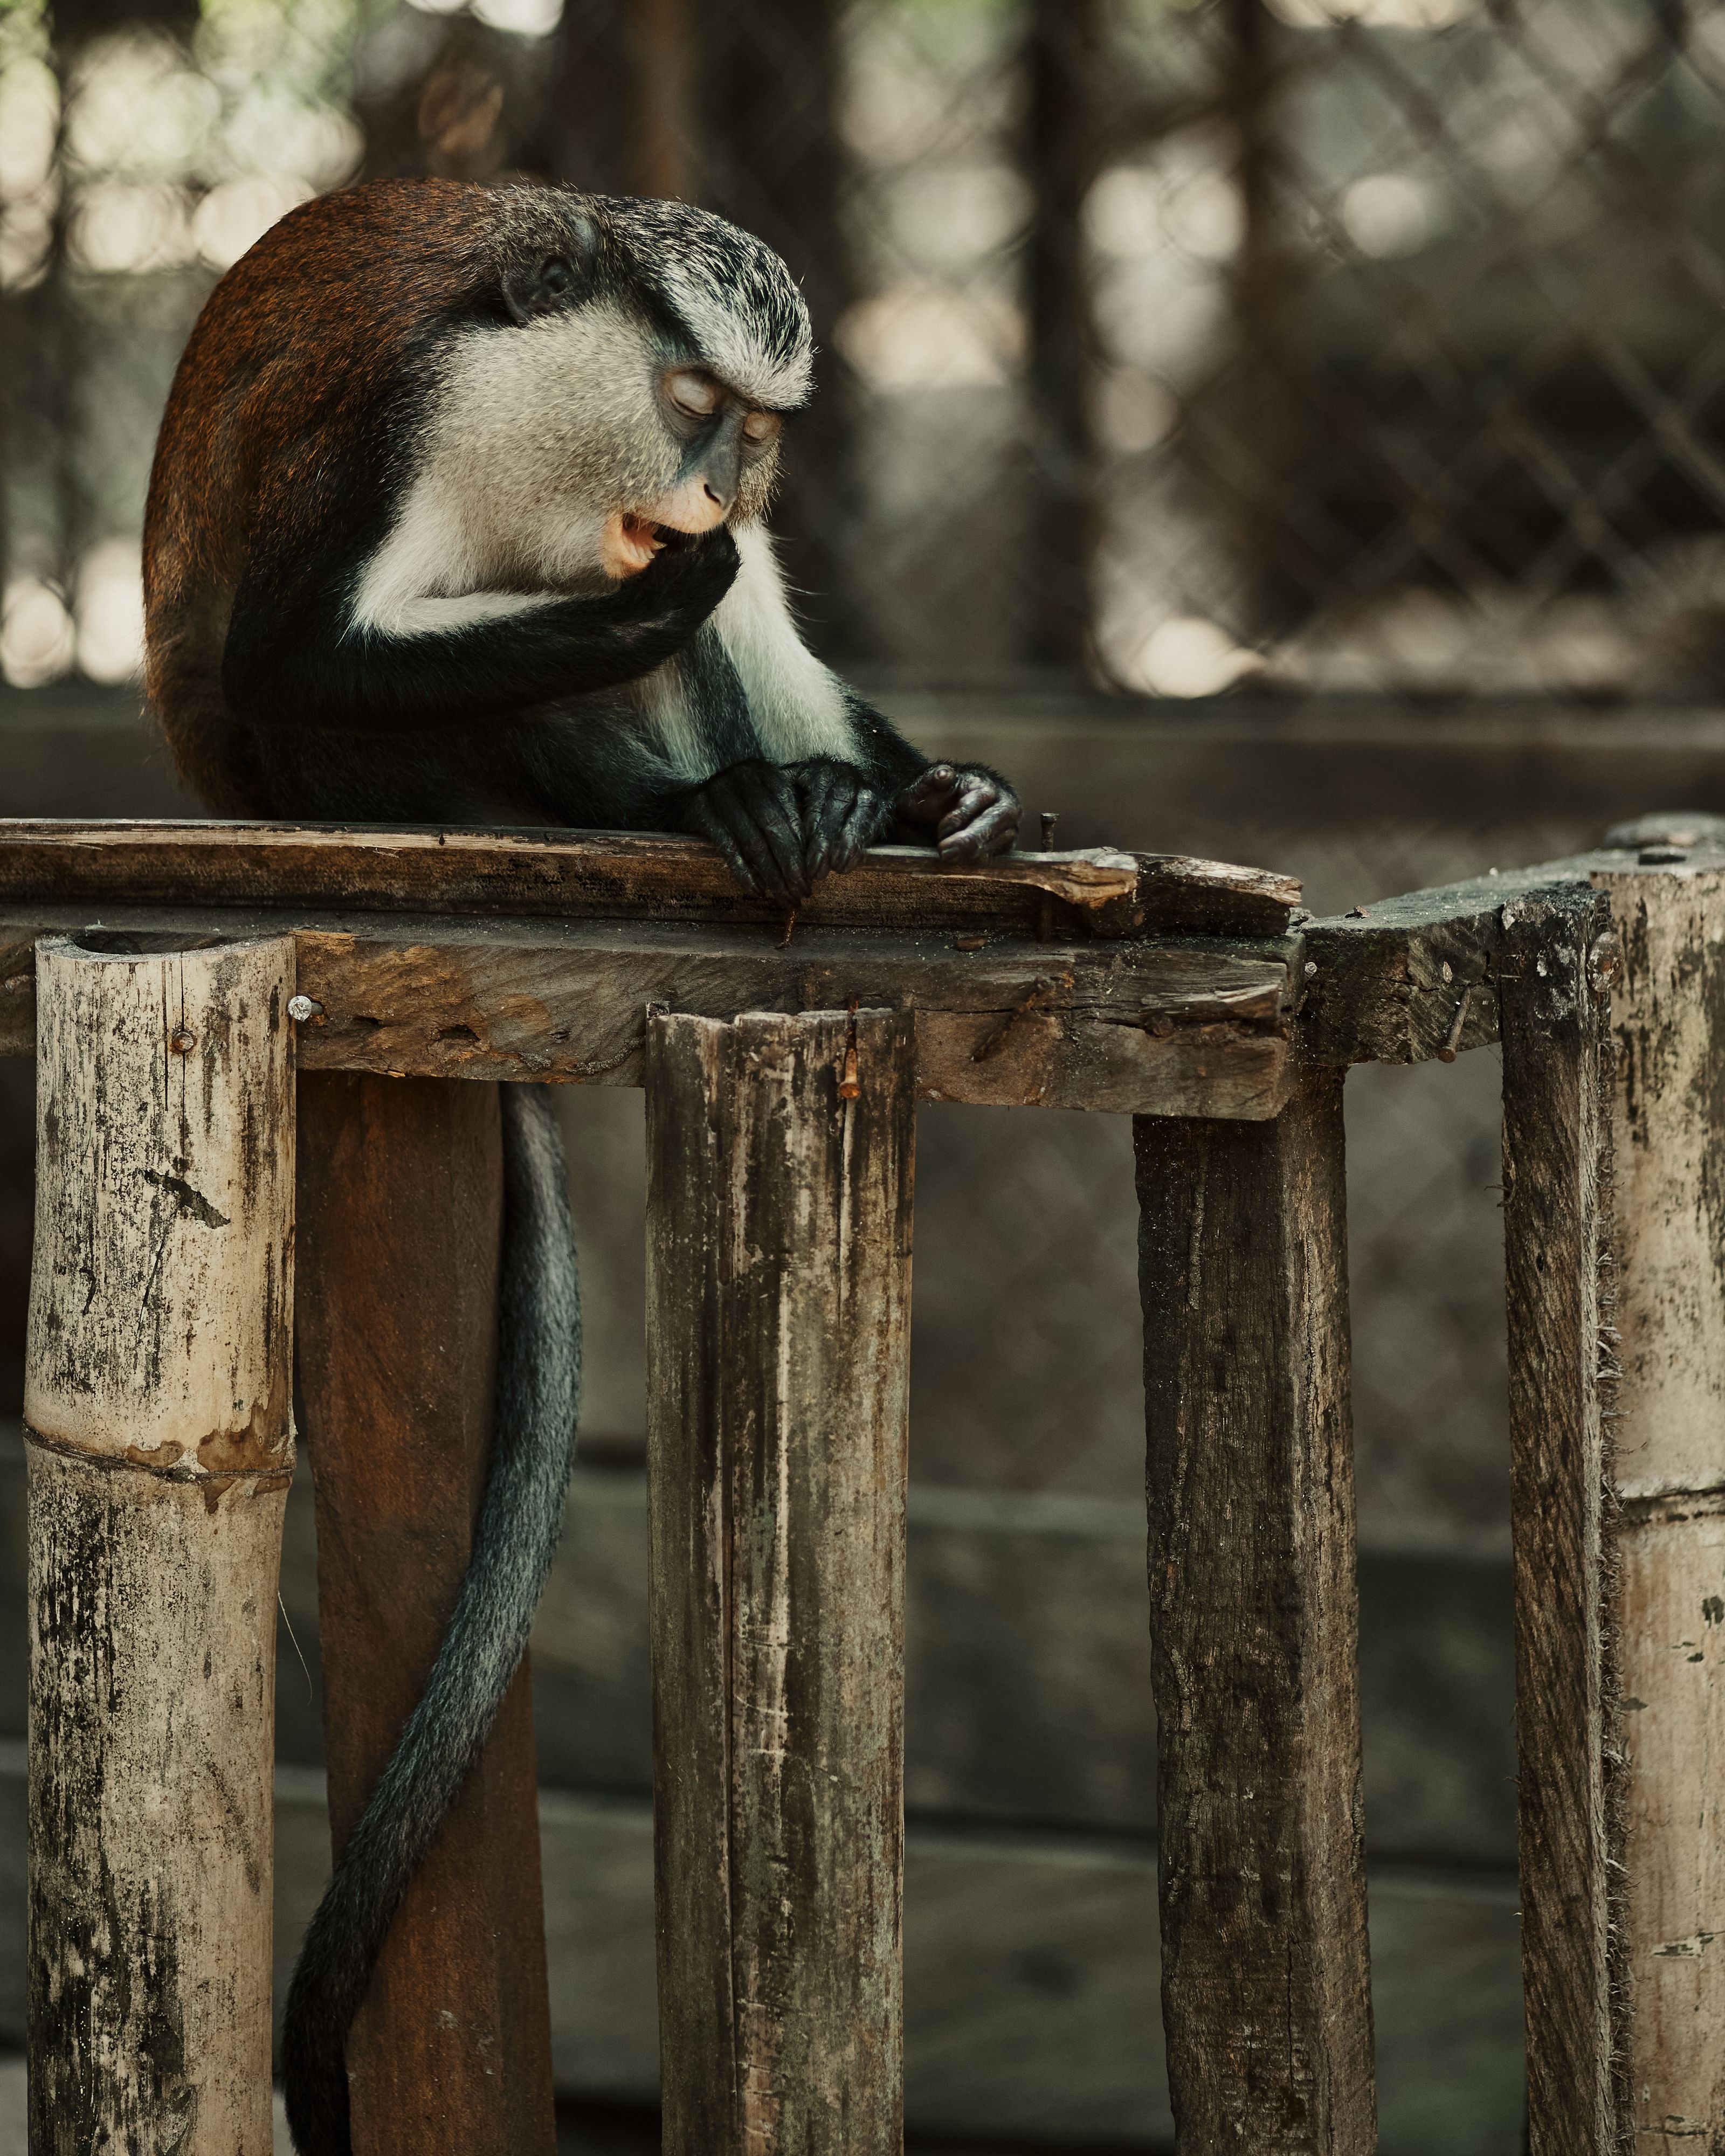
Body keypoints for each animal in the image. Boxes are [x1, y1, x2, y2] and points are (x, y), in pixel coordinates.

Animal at [141, 176, 1020, 2156]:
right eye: (689, 398)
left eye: (755, 422)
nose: (725, 484)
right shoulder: (407, 421)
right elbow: (306, 653)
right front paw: (669, 600)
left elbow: (737, 607)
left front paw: (938, 790)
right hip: (355, 787)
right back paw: (695, 810)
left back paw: (848, 805)